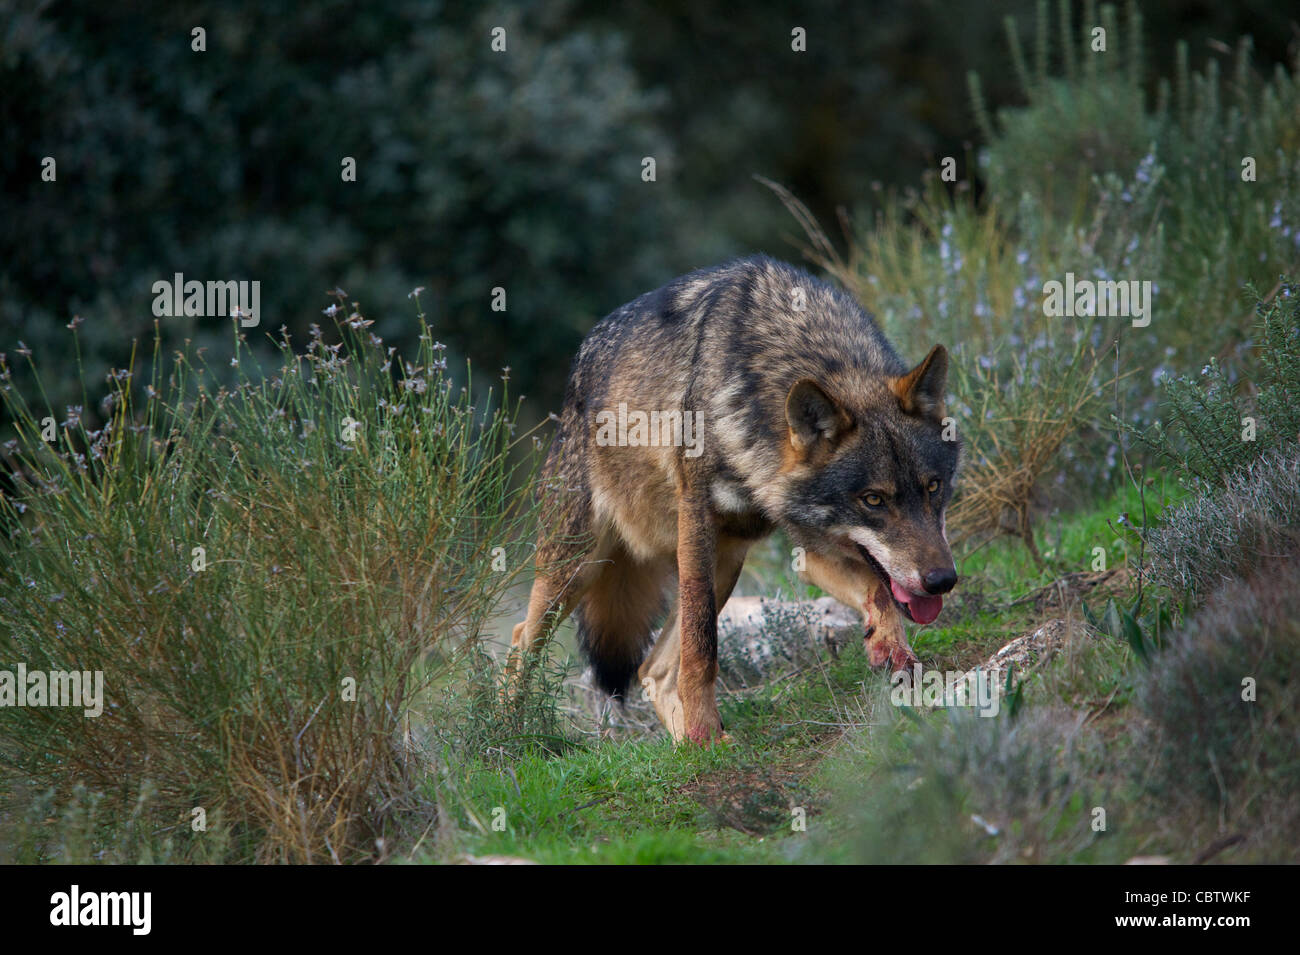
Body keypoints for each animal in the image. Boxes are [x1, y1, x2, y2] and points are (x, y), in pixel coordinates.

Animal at [509, 255, 960, 743]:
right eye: (874, 500)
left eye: (933, 487)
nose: (942, 581)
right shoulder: (697, 522)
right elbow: (702, 647)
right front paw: (703, 726)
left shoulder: (809, 547)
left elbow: (878, 590)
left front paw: (891, 648)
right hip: (578, 567)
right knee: (521, 639)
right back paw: (508, 731)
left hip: (725, 561)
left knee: (652, 671)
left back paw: (692, 745)